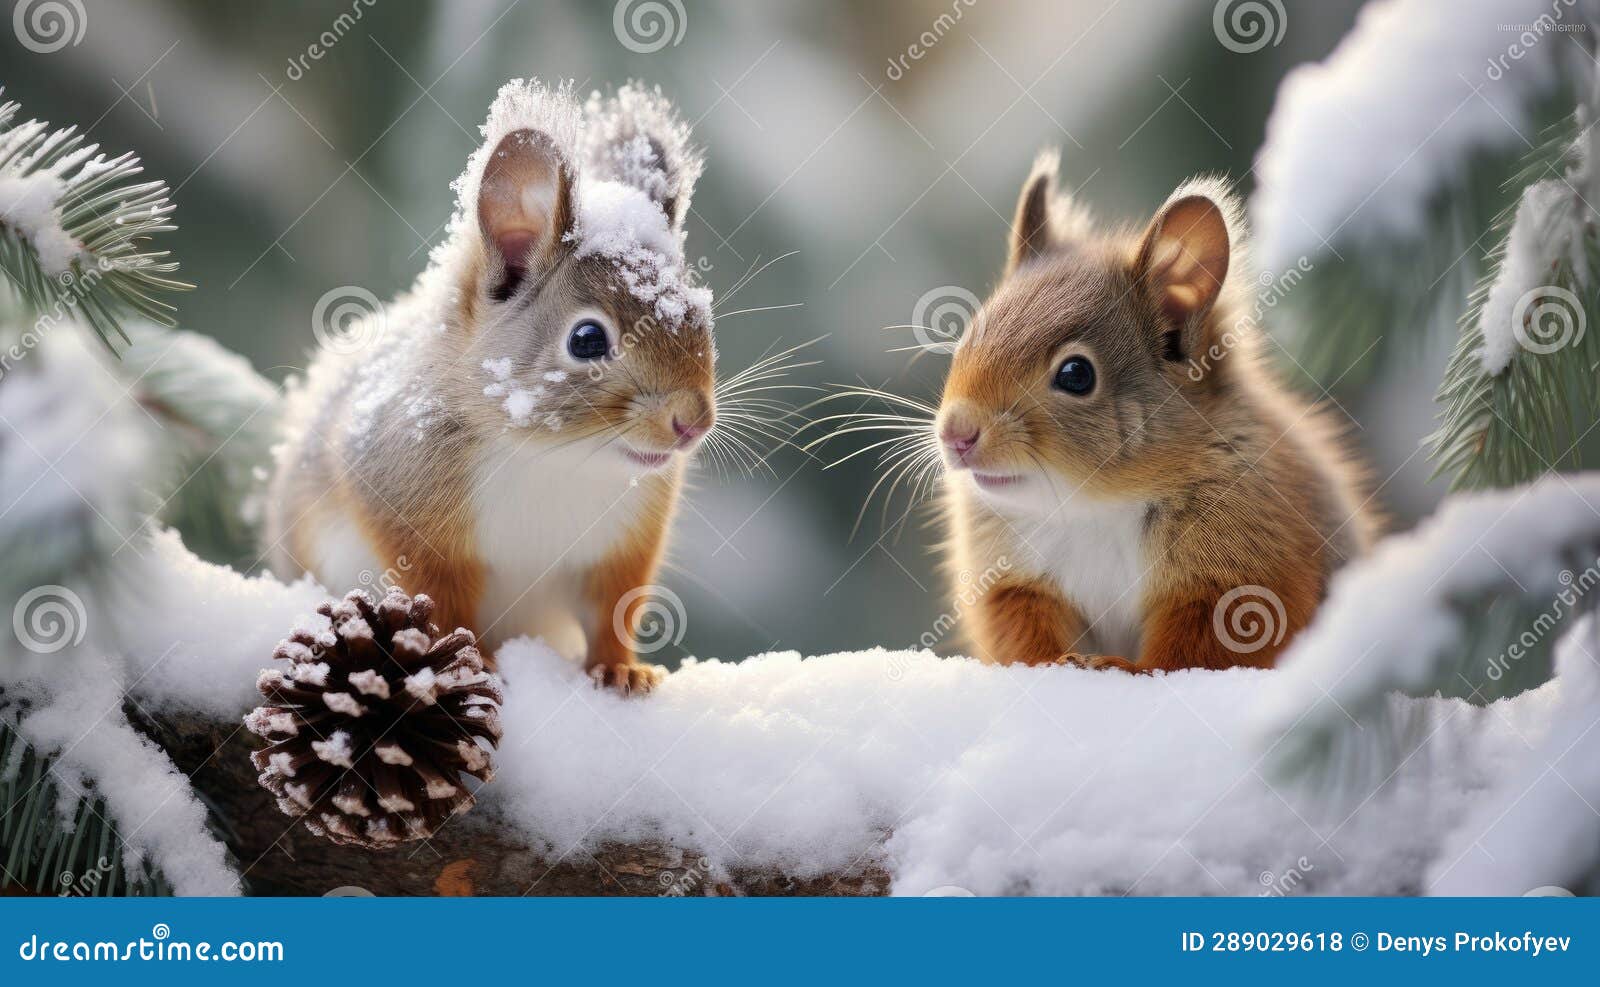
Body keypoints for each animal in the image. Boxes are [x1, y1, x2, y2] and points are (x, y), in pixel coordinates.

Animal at [266, 81, 716, 694]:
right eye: (587, 340)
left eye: (702, 316)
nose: (693, 420)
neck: (558, 459)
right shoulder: (402, 498)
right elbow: (440, 596)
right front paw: (470, 659)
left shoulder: (624, 543)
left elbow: (612, 611)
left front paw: (621, 669)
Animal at [935, 152, 1378, 673]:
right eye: (965, 338)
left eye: (1076, 374)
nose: (957, 434)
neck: (1091, 506)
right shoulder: (1013, 578)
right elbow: (1019, 635)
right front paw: (1053, 664)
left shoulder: (1243, 568)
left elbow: (1199, 649)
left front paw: (1122, 667)